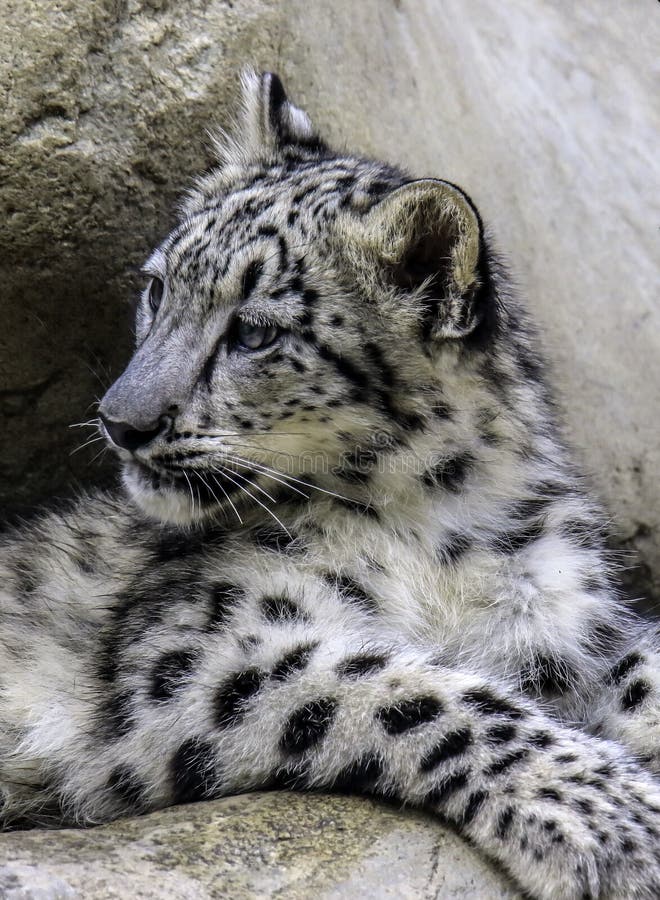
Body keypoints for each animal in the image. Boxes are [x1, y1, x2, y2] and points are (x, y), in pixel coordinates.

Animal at [1, 69, 659, 899]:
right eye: (157, 289)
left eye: (254, 331)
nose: (122, 421)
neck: (435, 523)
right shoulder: (201, 658)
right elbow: (419, 692)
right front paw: (617, 824)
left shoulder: (561, 626)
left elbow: (636, 669)